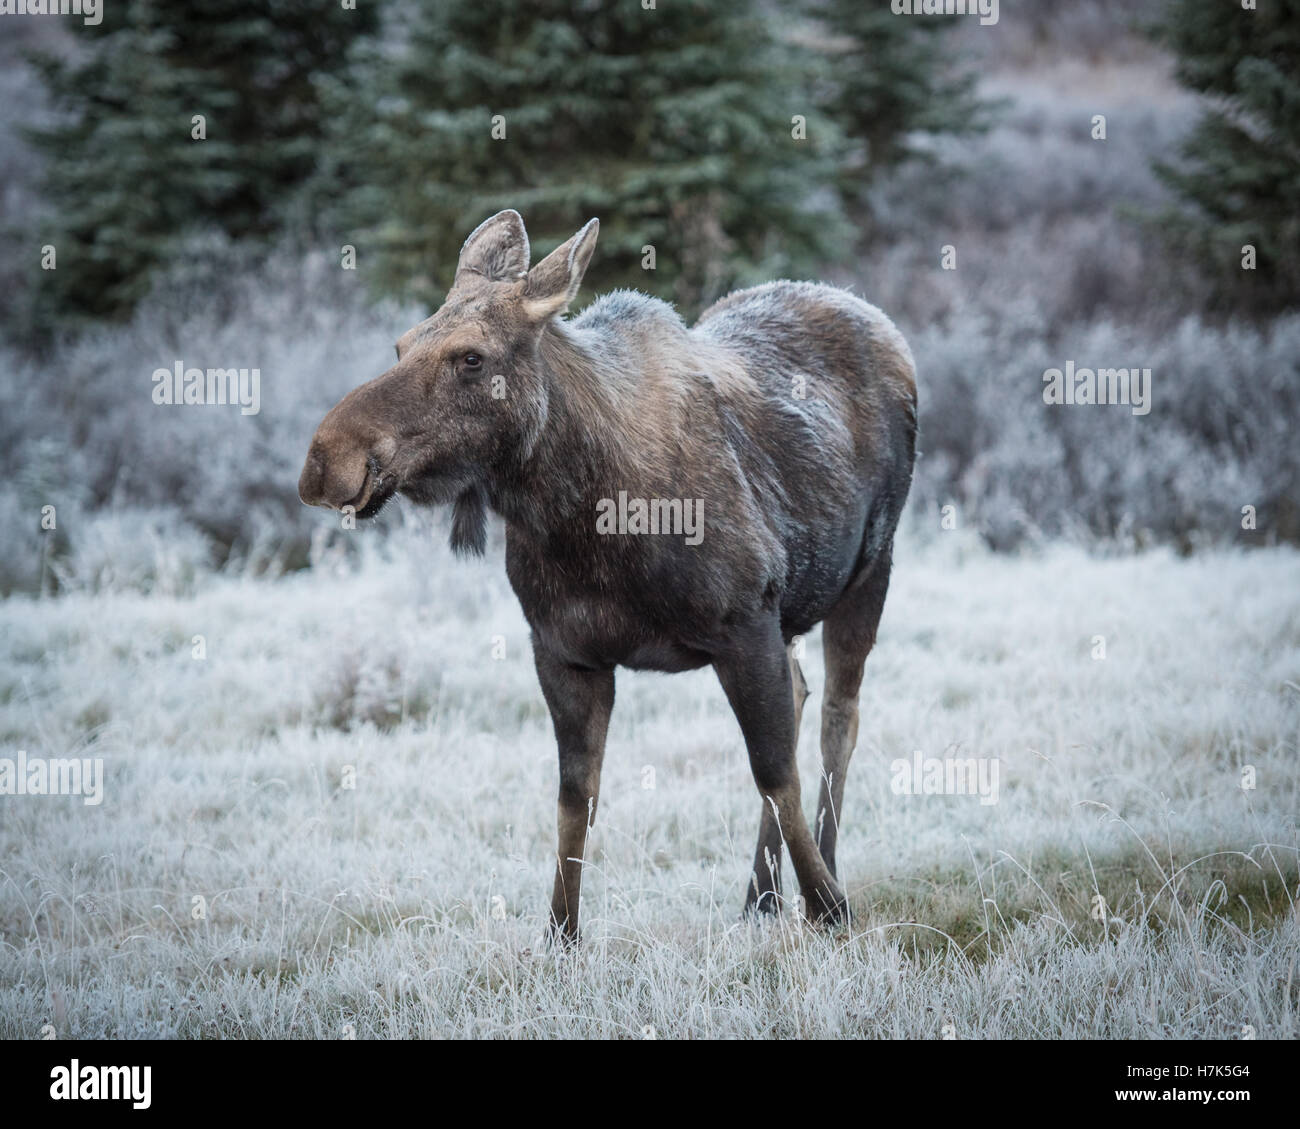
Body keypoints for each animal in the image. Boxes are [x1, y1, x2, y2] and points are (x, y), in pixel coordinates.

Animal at [298, 210, 917, 942]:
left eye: (471, 357)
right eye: (400, 344)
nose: (325, 461)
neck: (587, 519)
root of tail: (881, 322)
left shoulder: (744, 623)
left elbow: (773, 770)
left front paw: (828, 908)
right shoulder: (563, 651)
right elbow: (576, 795)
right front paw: (560, 935)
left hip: (870, 568)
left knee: (836, 718)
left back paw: (819, 876)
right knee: (802, 697)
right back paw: (759, 897)